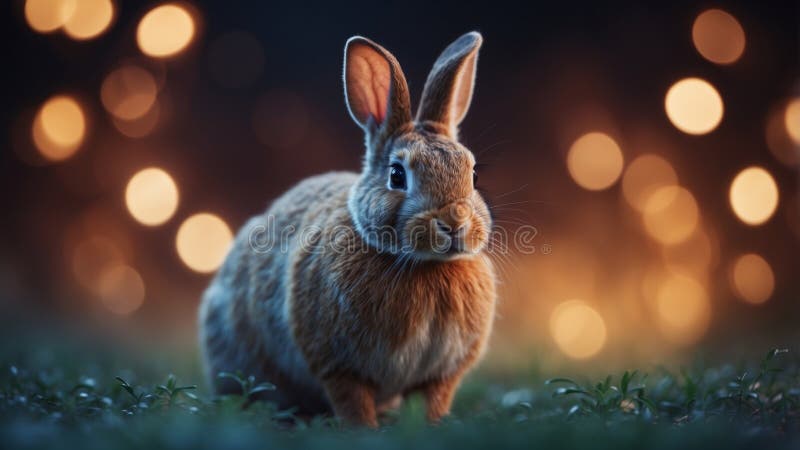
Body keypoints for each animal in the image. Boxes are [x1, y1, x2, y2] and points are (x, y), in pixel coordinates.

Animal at [199, 31, 496, 427]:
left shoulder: (441, 373)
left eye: (473, 175)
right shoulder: (338, 366)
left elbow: (434, 399)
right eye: (397, 175)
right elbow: (352, 399)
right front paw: (363, 430)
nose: (454, 224)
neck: (422, 265)